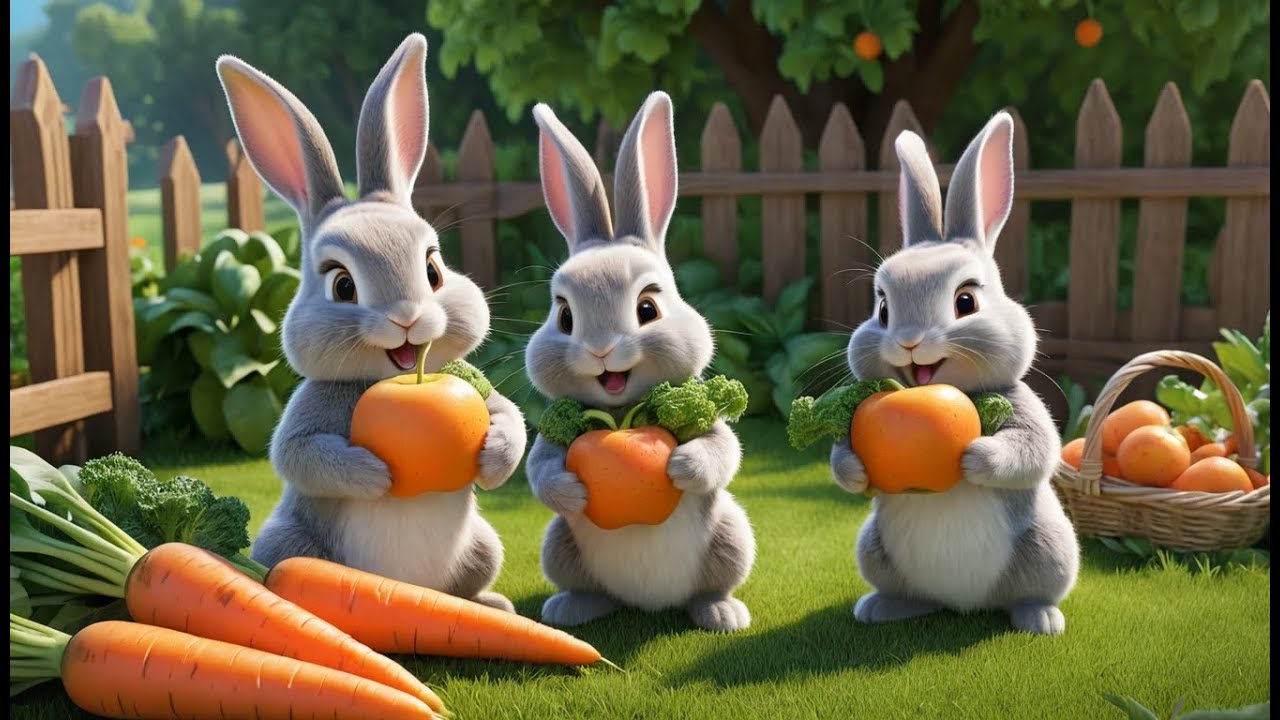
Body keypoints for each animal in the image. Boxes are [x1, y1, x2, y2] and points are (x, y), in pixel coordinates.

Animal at [215, 33, 526, 612]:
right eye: (343, 286)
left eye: (433, 270)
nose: (407, 318)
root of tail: (418, 590)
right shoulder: (307, 417)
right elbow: (298, 454)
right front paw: (374, 473)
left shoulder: (484, 395)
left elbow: (509, 418)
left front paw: (495, 459)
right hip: (288, 542)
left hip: (483, 545)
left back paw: (490, 605)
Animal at [523, 92, 756, 632]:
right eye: (564, 316)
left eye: (648, 308)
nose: (601, 349)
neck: (622, 411)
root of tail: (648, 604)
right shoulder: (547, 438)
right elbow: (541, 470)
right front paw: (571, 491)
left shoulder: (713, 426)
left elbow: (723, 451)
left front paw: (684, 466)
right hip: (559, 546)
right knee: (589, 590)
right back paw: (570, 609)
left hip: (731, 536)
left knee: (712, 586)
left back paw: (722, 613)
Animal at [833, 111, 1080, 635]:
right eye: (882, 310)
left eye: (966, 301)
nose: (908, 341)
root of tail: (962, 602)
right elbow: (840, 458)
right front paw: (856, 470)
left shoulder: (1024, 407)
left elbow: (1033, 451)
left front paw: (974, 456)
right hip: (874, 547)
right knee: (914, 596)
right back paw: (882, 608)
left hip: (1049, 547)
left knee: (1030, 594)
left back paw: (1040, 619)